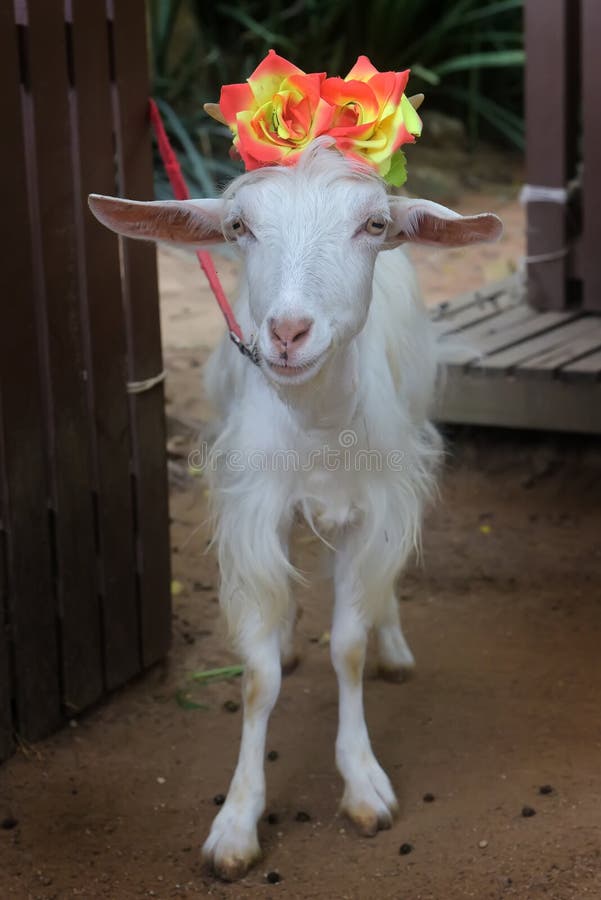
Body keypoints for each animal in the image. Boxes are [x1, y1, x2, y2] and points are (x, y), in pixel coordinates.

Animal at [89, 142, 502, 881]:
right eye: (238, 227)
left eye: (373, 225)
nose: (286, 332)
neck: (316, 427)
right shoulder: (252, 515)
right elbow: (258, 678)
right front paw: (235, 823)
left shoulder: (374, 511)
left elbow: (347, 647)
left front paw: (363, 783)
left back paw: (393, 646)